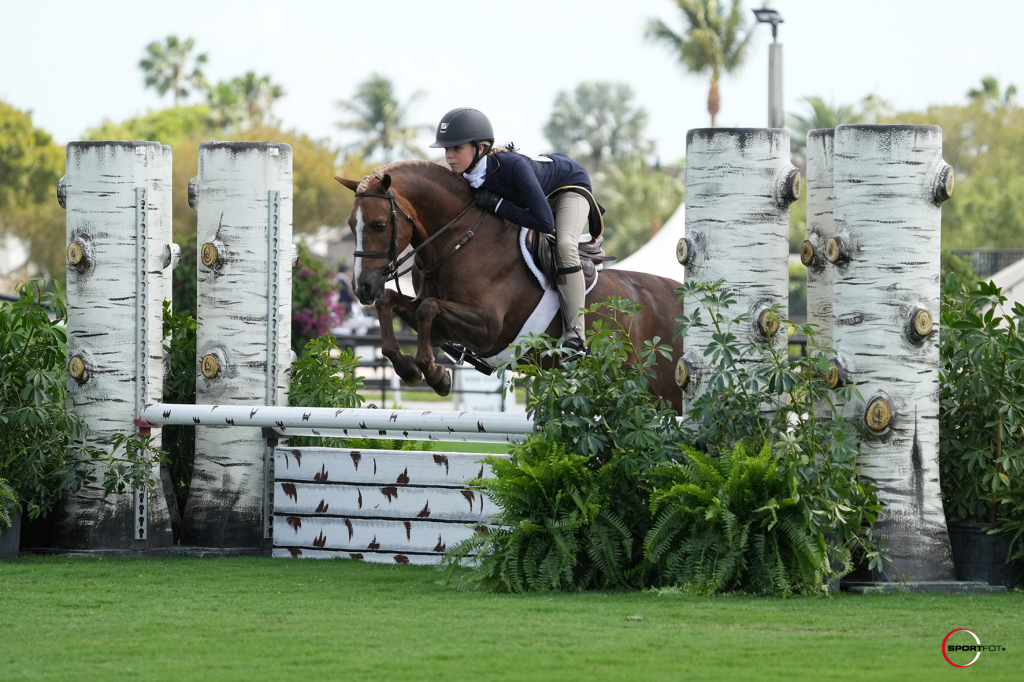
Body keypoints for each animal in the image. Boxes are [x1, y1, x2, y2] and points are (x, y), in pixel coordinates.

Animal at [334, 160, 686, 413]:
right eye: (351, 224)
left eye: (379, 224)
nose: (362, 288)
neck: (457, 241)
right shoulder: (444, 329)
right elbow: (392, 303)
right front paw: (411, 370)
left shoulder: (488, 329)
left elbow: (427, 309)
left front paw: (435, 375)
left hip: (667, 388)